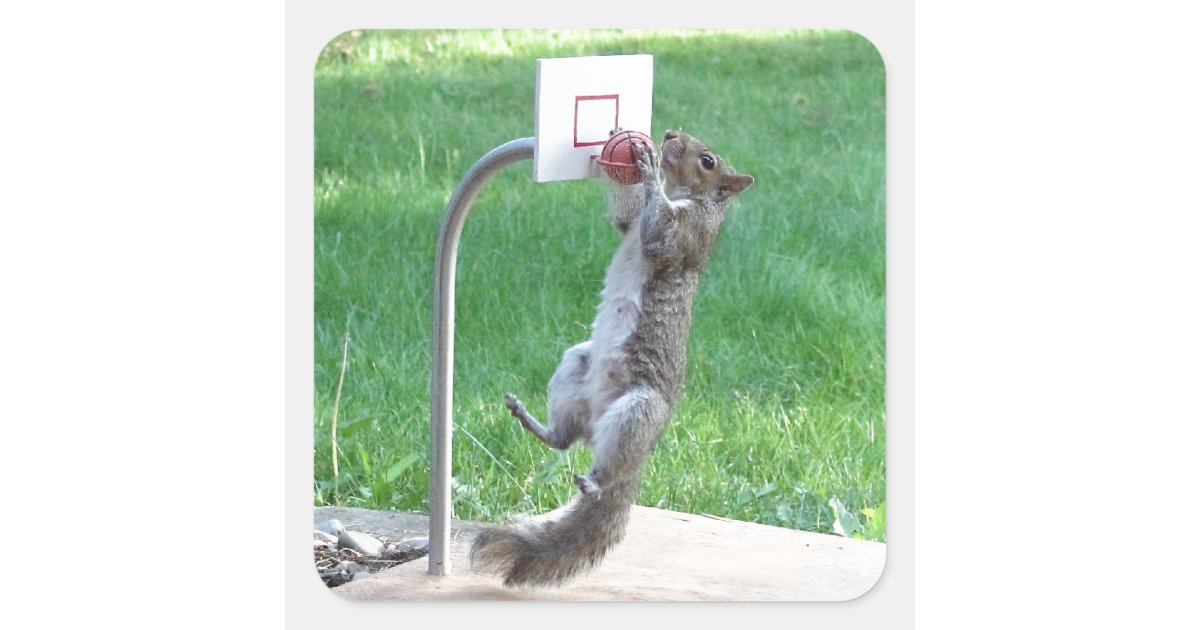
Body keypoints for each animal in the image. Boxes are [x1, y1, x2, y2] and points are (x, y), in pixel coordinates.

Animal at [469, 129, 754, 587]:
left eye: (708, 161)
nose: (670, 134)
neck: (686, 195)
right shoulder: (631, 224)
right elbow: (625, 220)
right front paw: (621, 153)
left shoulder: (685, 237)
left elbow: (660, 236)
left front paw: (647, 165)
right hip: (575, 367)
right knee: (564, 438)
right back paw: (533, 422)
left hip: (637, 409)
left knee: (607, 466)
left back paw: (595, 481)